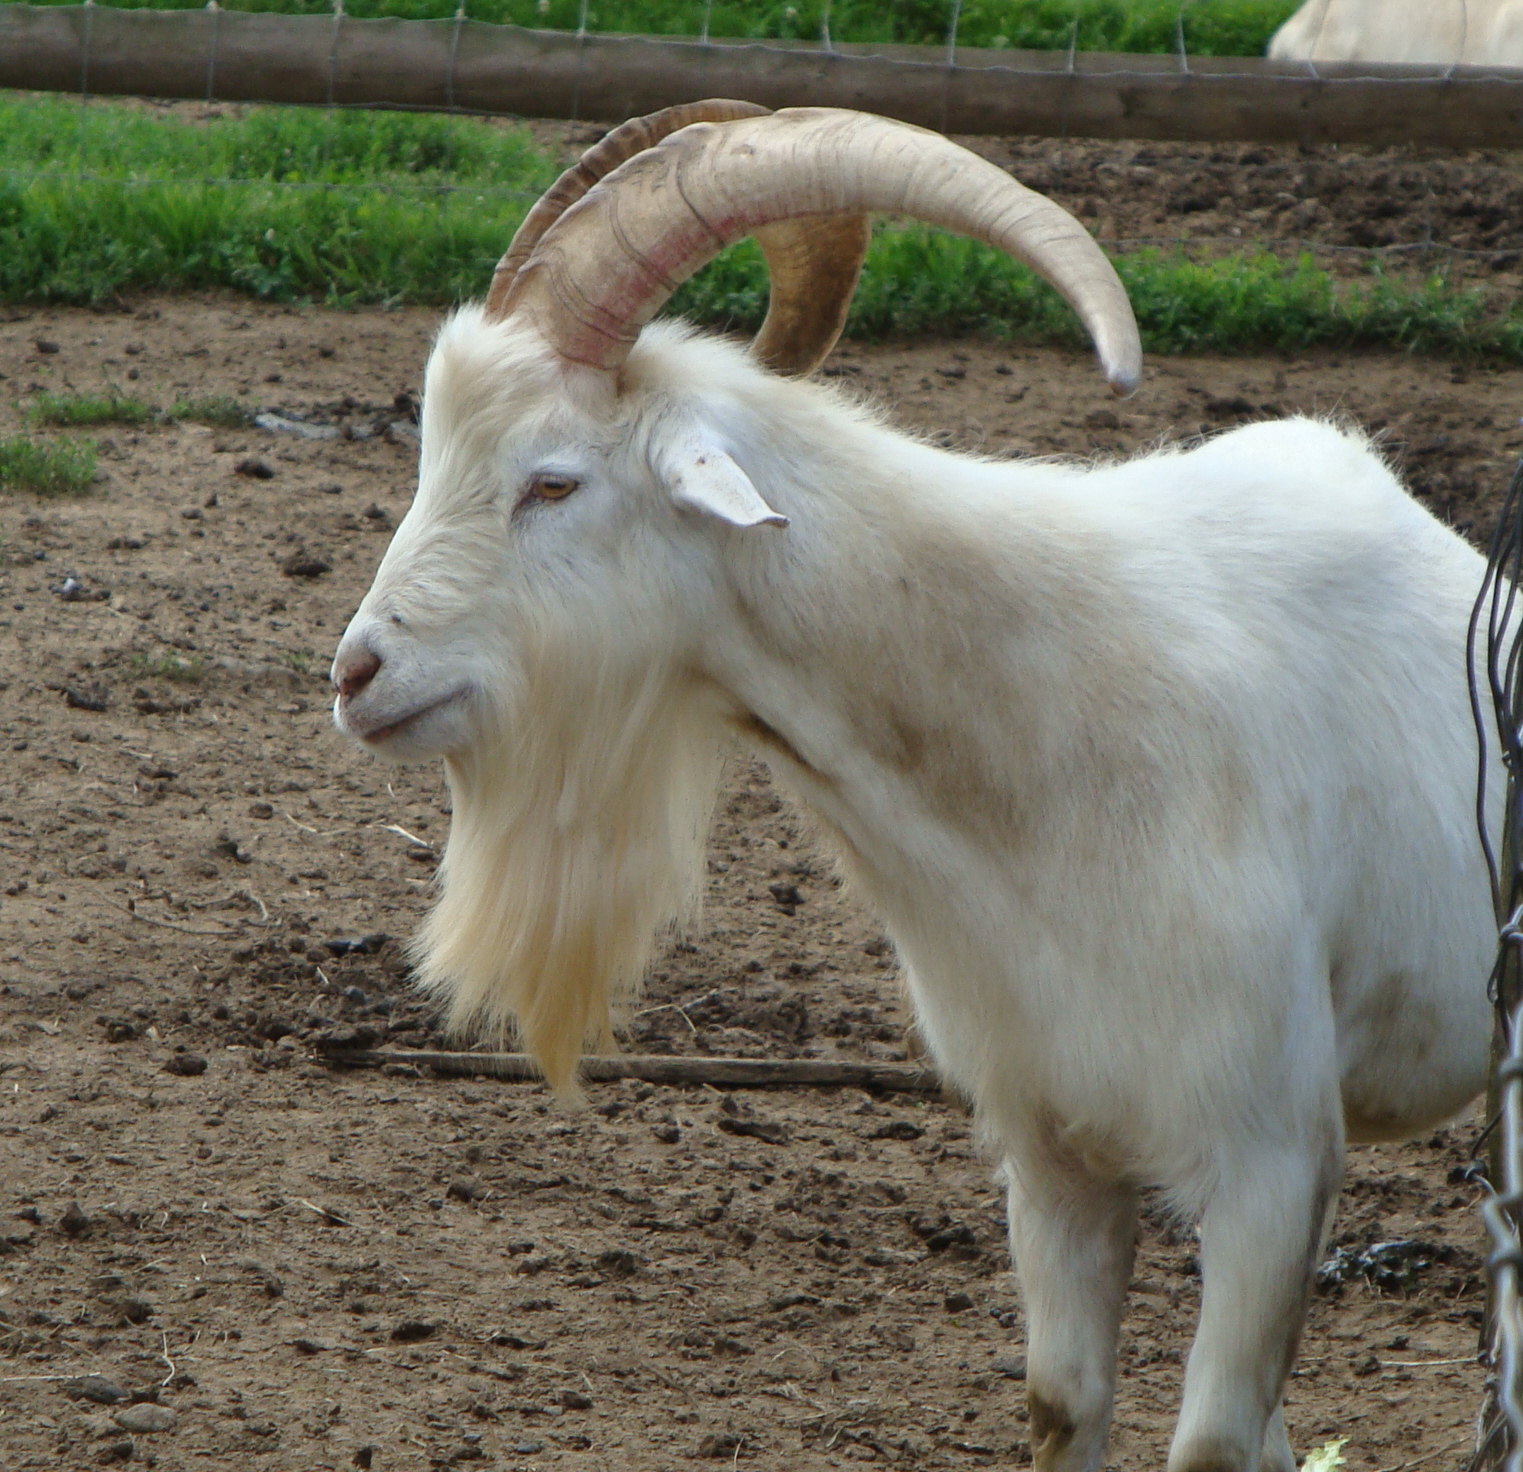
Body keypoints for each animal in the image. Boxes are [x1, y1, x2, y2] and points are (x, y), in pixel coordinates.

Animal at [331, 102, 1495, 1472]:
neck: (1036, 730)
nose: (359, 672)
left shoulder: (1272, 1159)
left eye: (552, 479)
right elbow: (1060, 1402)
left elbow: (1212, 1438)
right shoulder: (1049, 1147)